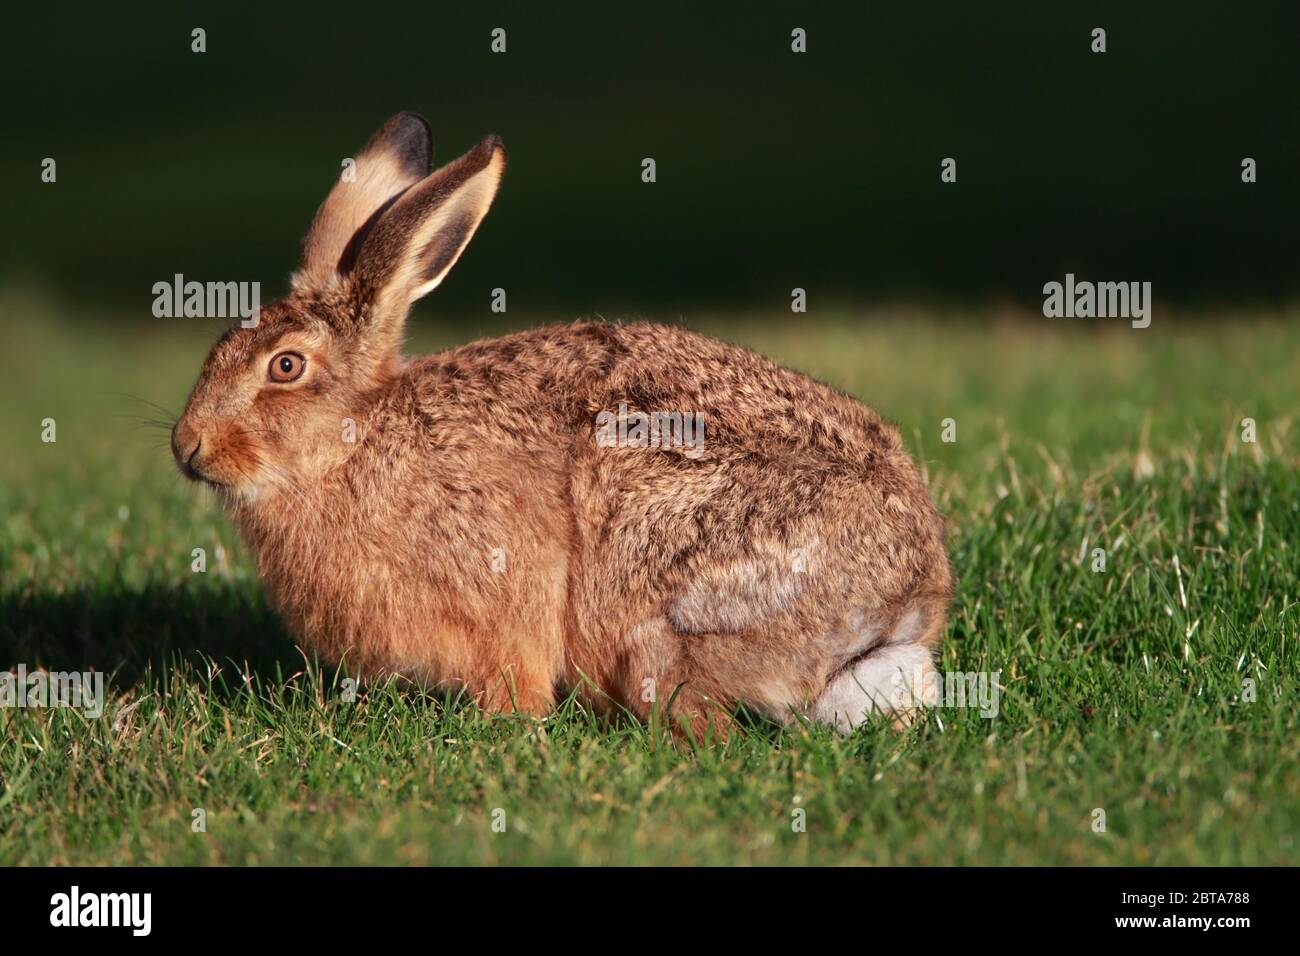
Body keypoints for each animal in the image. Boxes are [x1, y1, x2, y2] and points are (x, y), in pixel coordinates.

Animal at [172, 112, 952, 736]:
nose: (187, 447)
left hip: (658, 600)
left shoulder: (502, 599)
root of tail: (909, 597)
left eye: (286, 367)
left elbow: (515, 676)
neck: (351, 442)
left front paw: (507, 728)